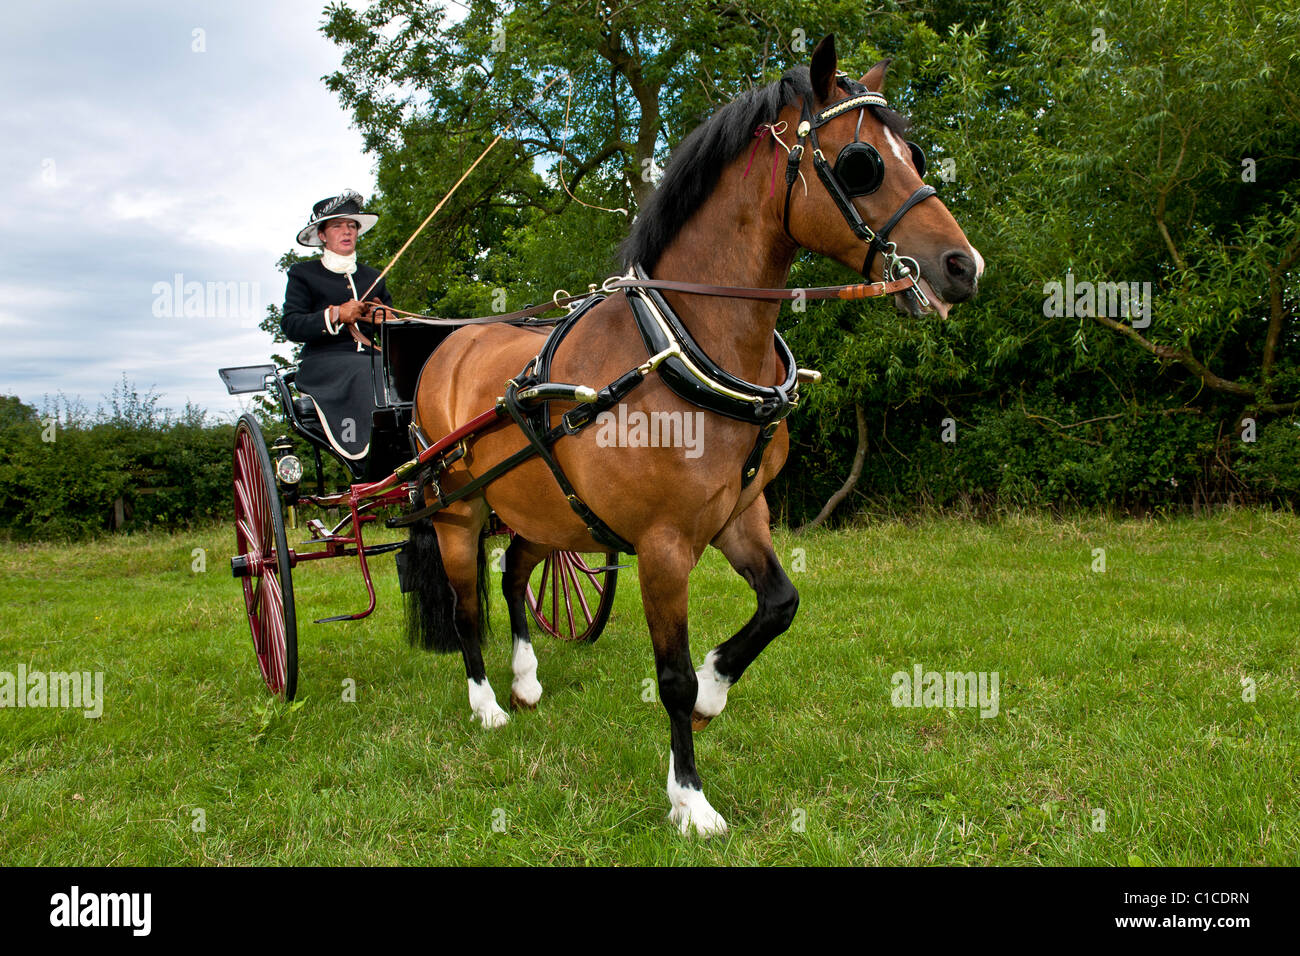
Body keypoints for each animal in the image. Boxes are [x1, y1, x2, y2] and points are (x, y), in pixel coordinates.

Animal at [405, 34, 982, 835]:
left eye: (916, 154)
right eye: (861, 162)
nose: (963, 267)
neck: (683, 347)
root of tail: (449, 346)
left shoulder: (740, 514)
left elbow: (780, 605)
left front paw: (717, 685)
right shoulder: (664, 544)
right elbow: (670, 677)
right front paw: (689, 796)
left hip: (545, 506)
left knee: (518, 573)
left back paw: (523, 681)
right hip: (458, 507)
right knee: (467, 609)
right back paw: (486, 703)